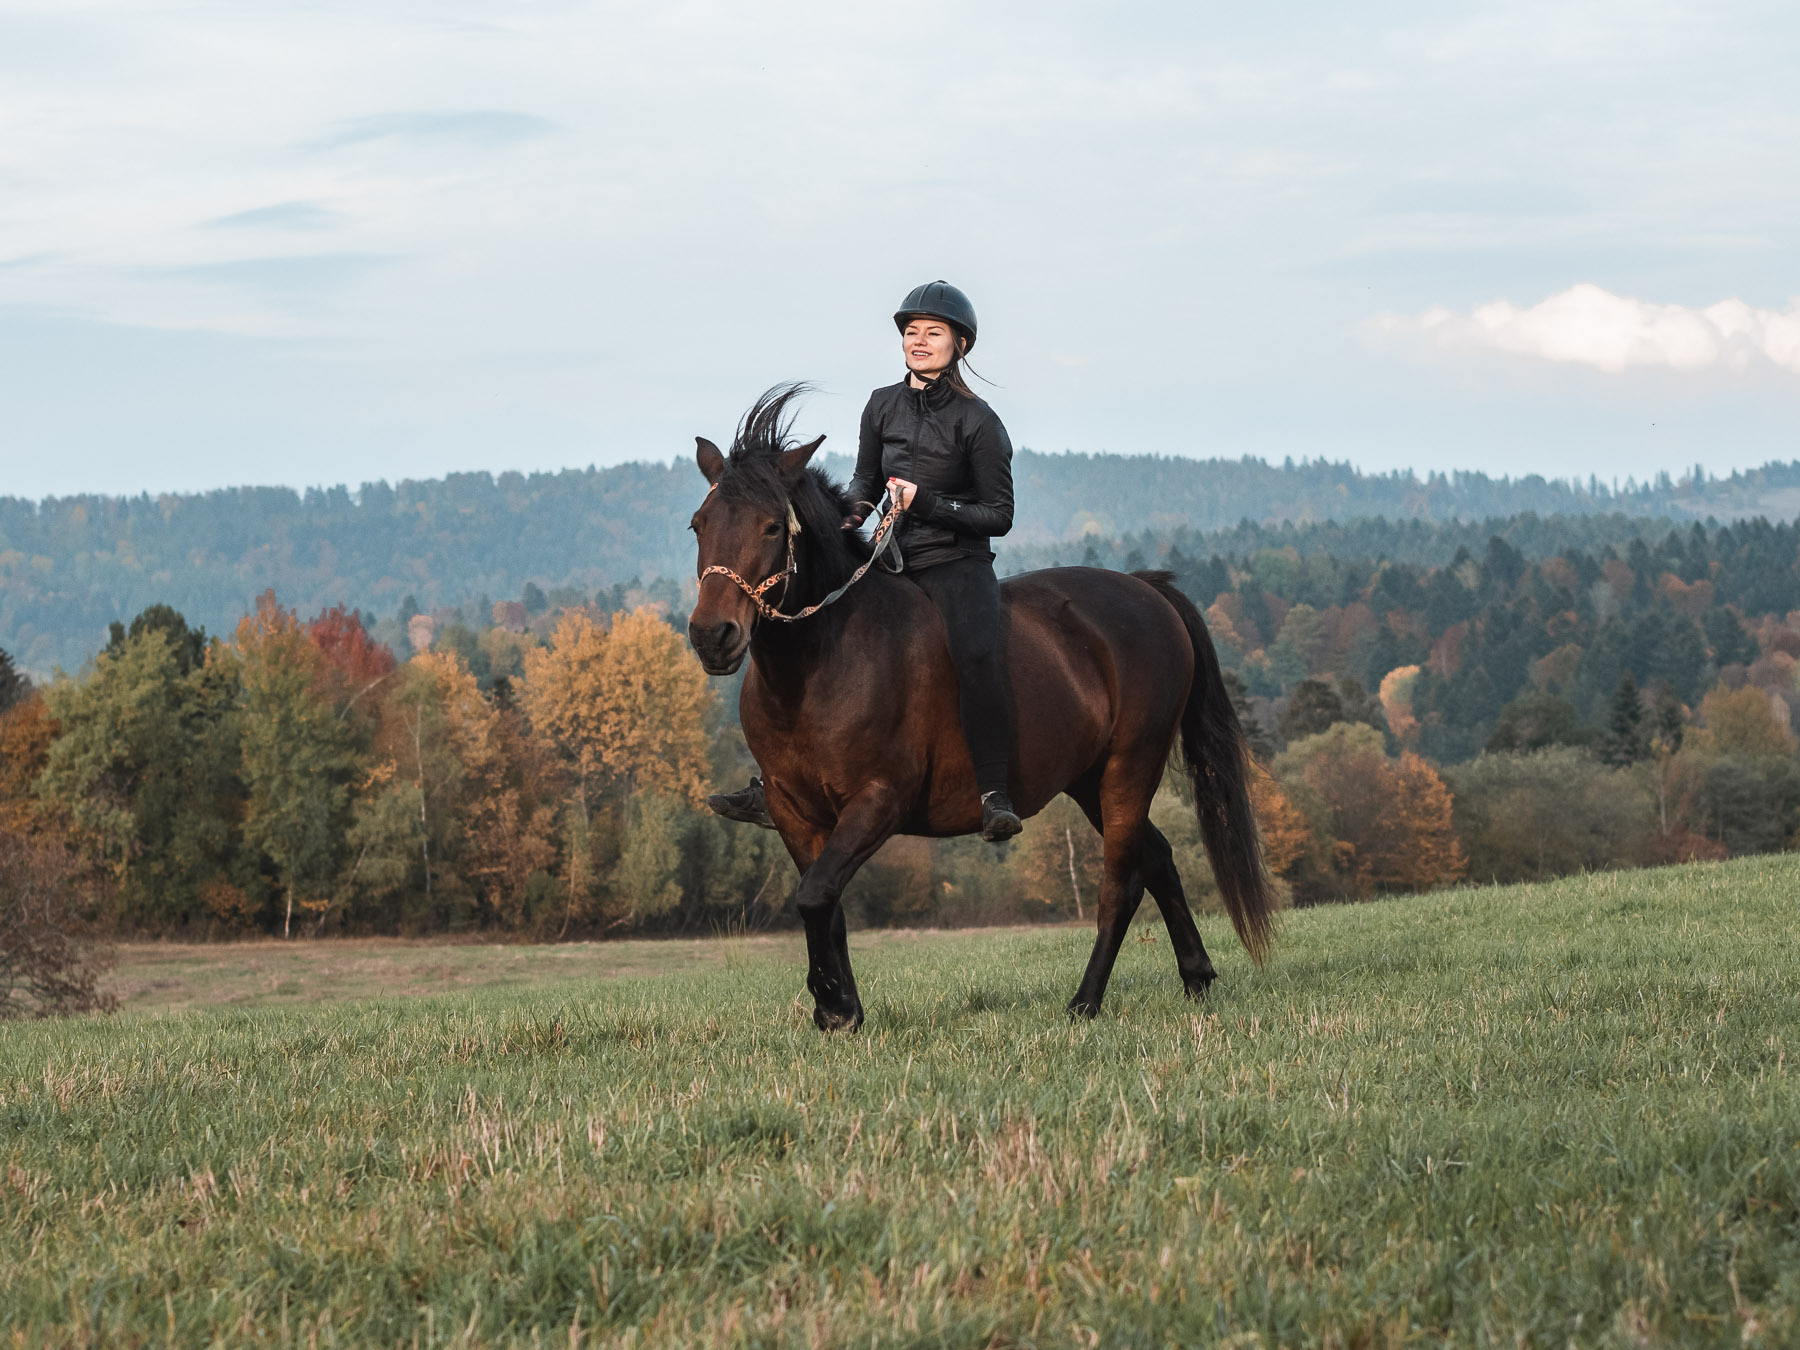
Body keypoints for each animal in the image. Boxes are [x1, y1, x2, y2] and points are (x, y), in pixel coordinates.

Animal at [686, 386, 1275, 1030]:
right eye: (698, 524)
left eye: (772, 527)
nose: (712, 636)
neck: (817, 668)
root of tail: (1148, 591)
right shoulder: (796, 815)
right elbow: (825, 902)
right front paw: (840, 1009)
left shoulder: (879, 801)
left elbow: (816, 896)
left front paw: (834, 1004)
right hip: (1088, 780)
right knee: (1161, 859)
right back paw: (1196, 977)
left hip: (1130, 767)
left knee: (1121, 884)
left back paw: (1084, 1003)